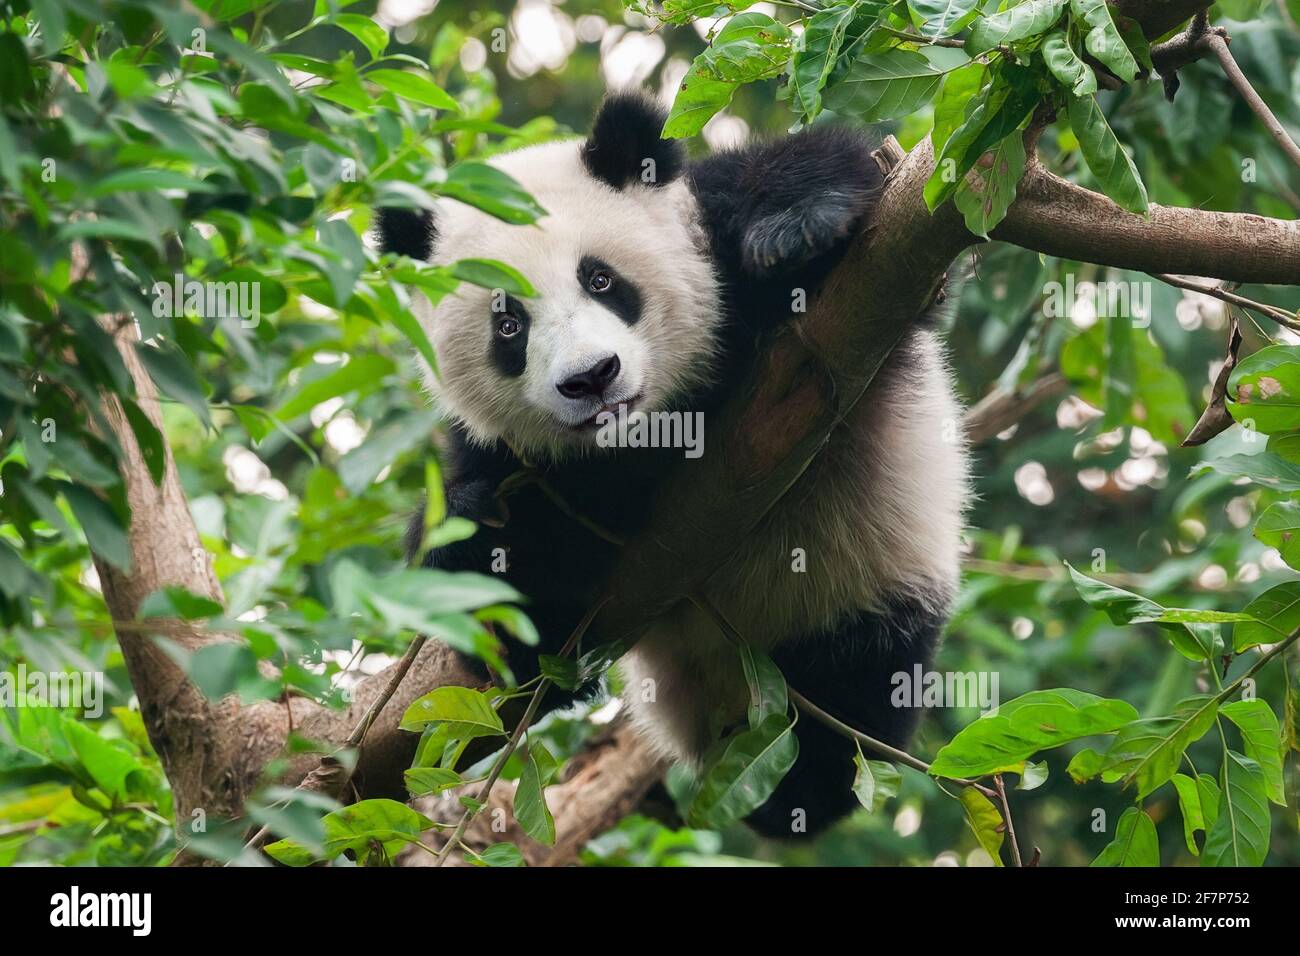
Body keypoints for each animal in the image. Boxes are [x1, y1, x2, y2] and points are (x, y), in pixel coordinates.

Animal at [378, 90, 968, 838]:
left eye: (601, 279)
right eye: (508, 325)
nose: (592, 378)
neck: (653, 429)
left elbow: (834, 181)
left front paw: (795, 227)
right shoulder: (505, 454)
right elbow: (490, 571)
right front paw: (484, 526)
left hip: (865, 586)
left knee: (849, 706)